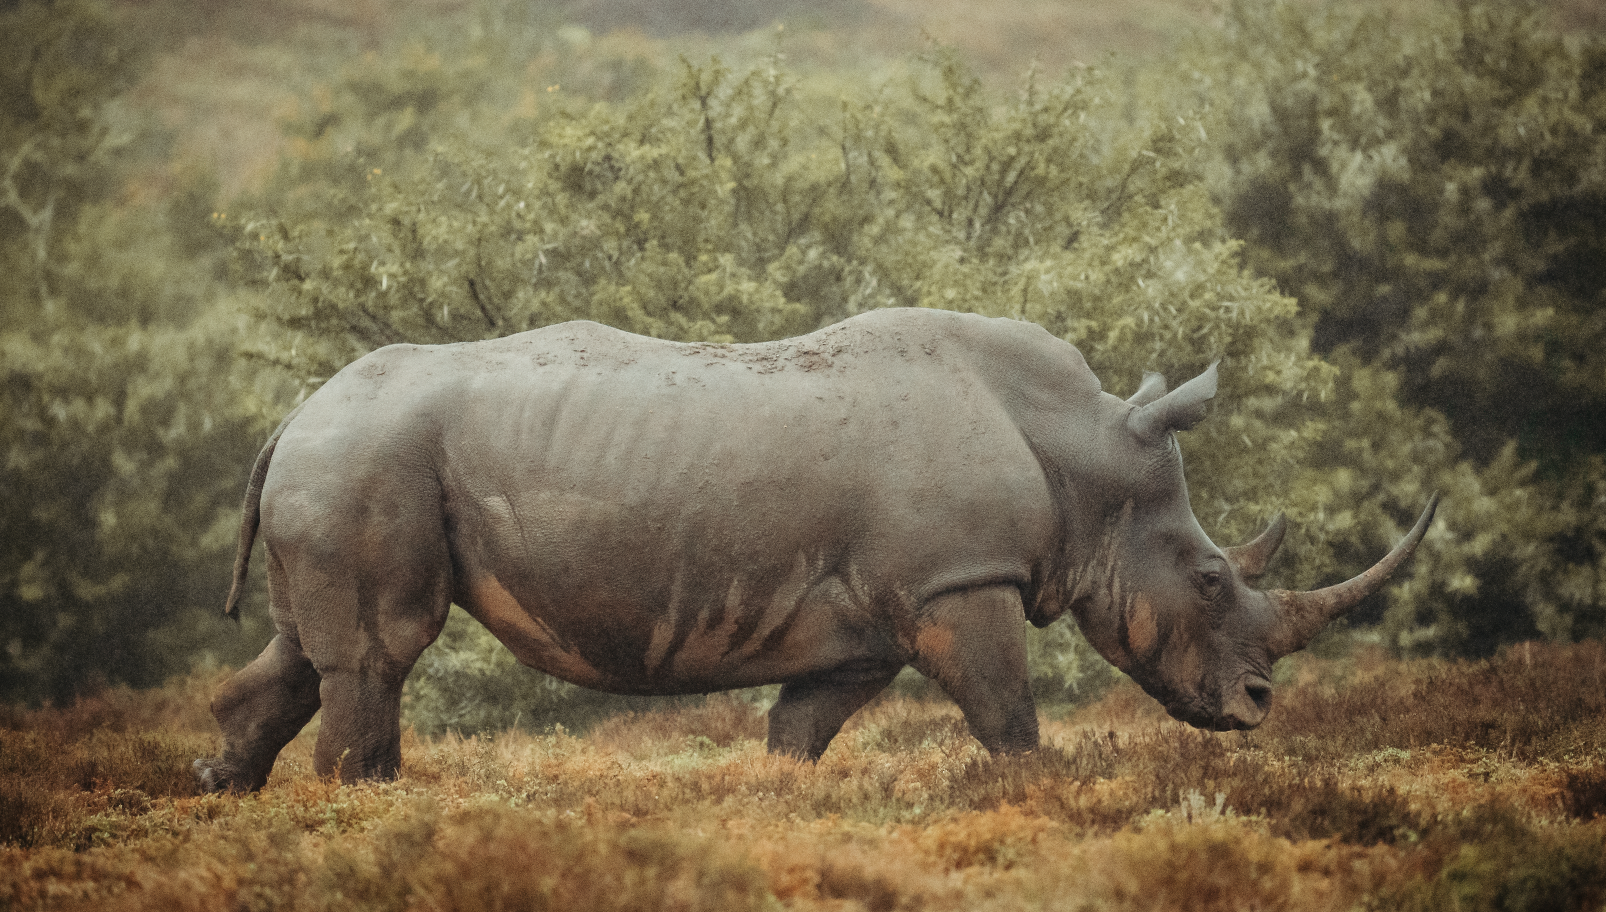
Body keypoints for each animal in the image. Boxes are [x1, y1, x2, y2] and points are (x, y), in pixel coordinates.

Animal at [194, 308, 1435, 792]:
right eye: (1214, 578)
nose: (1259, 705)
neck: (1082, 454)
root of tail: (294, 414)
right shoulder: (959, 579)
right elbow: (1007, 716)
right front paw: (1037, 795)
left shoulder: (868, 622)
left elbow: (800, 731)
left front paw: (775, 800)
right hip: (369, 458)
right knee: (377, 654)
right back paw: (368, 807)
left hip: (346, 459)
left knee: (303, 653)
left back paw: (227, 792)